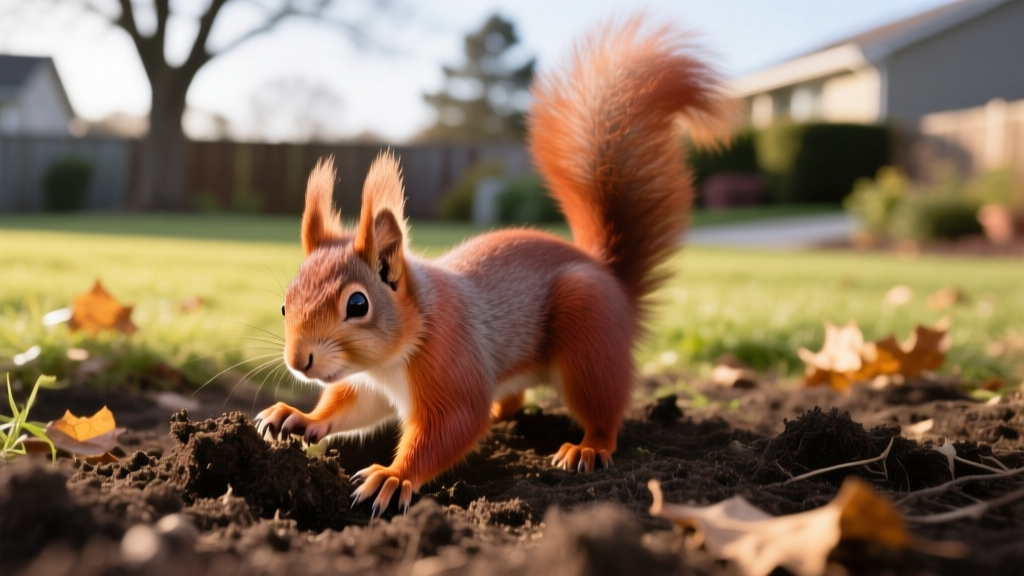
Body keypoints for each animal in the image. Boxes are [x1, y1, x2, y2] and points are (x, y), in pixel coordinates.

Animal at [255, 14, 733, 516]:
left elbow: (456, 423)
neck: (393, 355)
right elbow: (350, 409)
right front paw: (297, 417)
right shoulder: (366, 384)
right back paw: (504, 414)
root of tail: (609, 277)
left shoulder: (452, 361)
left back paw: (588, 447)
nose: (298, 361)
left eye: (358, 304)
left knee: (602, 408)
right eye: (285, 305)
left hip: (590, 337)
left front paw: (392, 477)